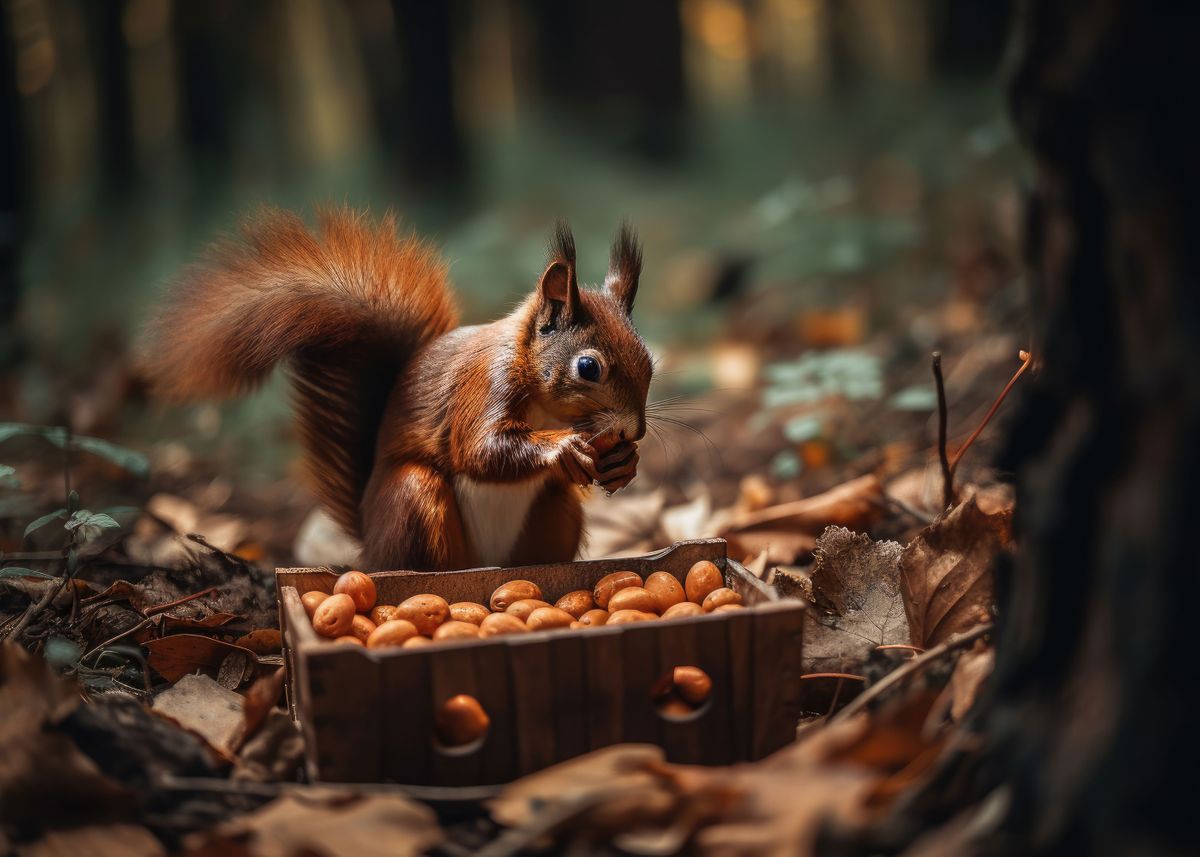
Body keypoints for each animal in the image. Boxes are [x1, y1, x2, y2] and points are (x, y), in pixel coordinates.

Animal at [139, 208, 652, 572]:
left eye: (650, 361)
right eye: (588, 367)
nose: (635, 432)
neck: (549, 409)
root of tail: (371, 540)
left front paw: (623, 463)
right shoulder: (485, 385)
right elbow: (481, 449)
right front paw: (567, 449)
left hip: (554, 514)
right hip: (413, 500)